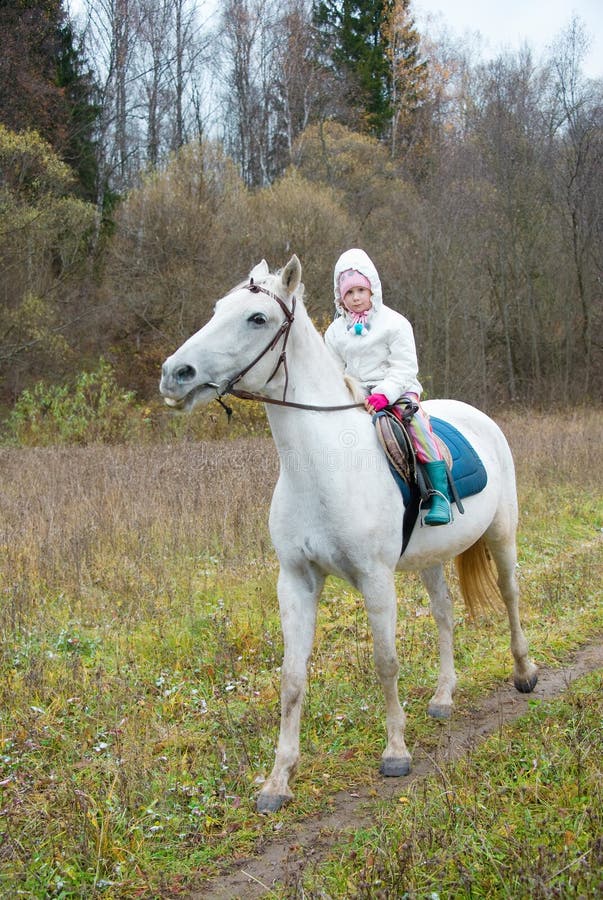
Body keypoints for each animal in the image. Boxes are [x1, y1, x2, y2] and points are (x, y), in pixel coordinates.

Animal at [159, 254, 538, 814]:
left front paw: (396, 752)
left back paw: (524, 672)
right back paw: (443, 698)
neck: (322, 466)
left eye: (256, 318)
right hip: (431, 560)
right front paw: (278, 780)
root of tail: (479, 418)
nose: (174, 374)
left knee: (511, 595)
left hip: (501, 536)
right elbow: (292, 678)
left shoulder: (376, 580)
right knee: (445, 615)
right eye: (216, 309)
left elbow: (386, 662)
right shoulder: (296, 581)